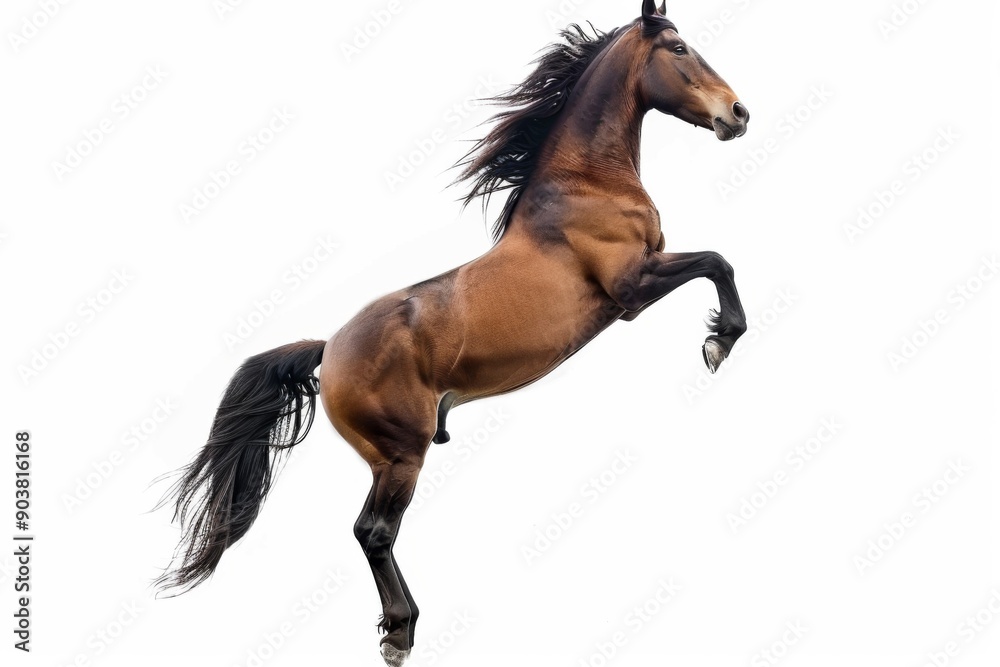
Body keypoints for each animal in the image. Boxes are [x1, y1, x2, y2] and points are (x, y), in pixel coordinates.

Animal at [157, 2, 750, 665]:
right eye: (679, 48)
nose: (738, 113)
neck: (586, 185)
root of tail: (329, 350)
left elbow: (717, 262)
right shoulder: (632, 287)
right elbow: (718, 261)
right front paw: (718, 343)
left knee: (372, 532)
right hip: (400, 454)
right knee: (374, 531)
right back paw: (400, 632)